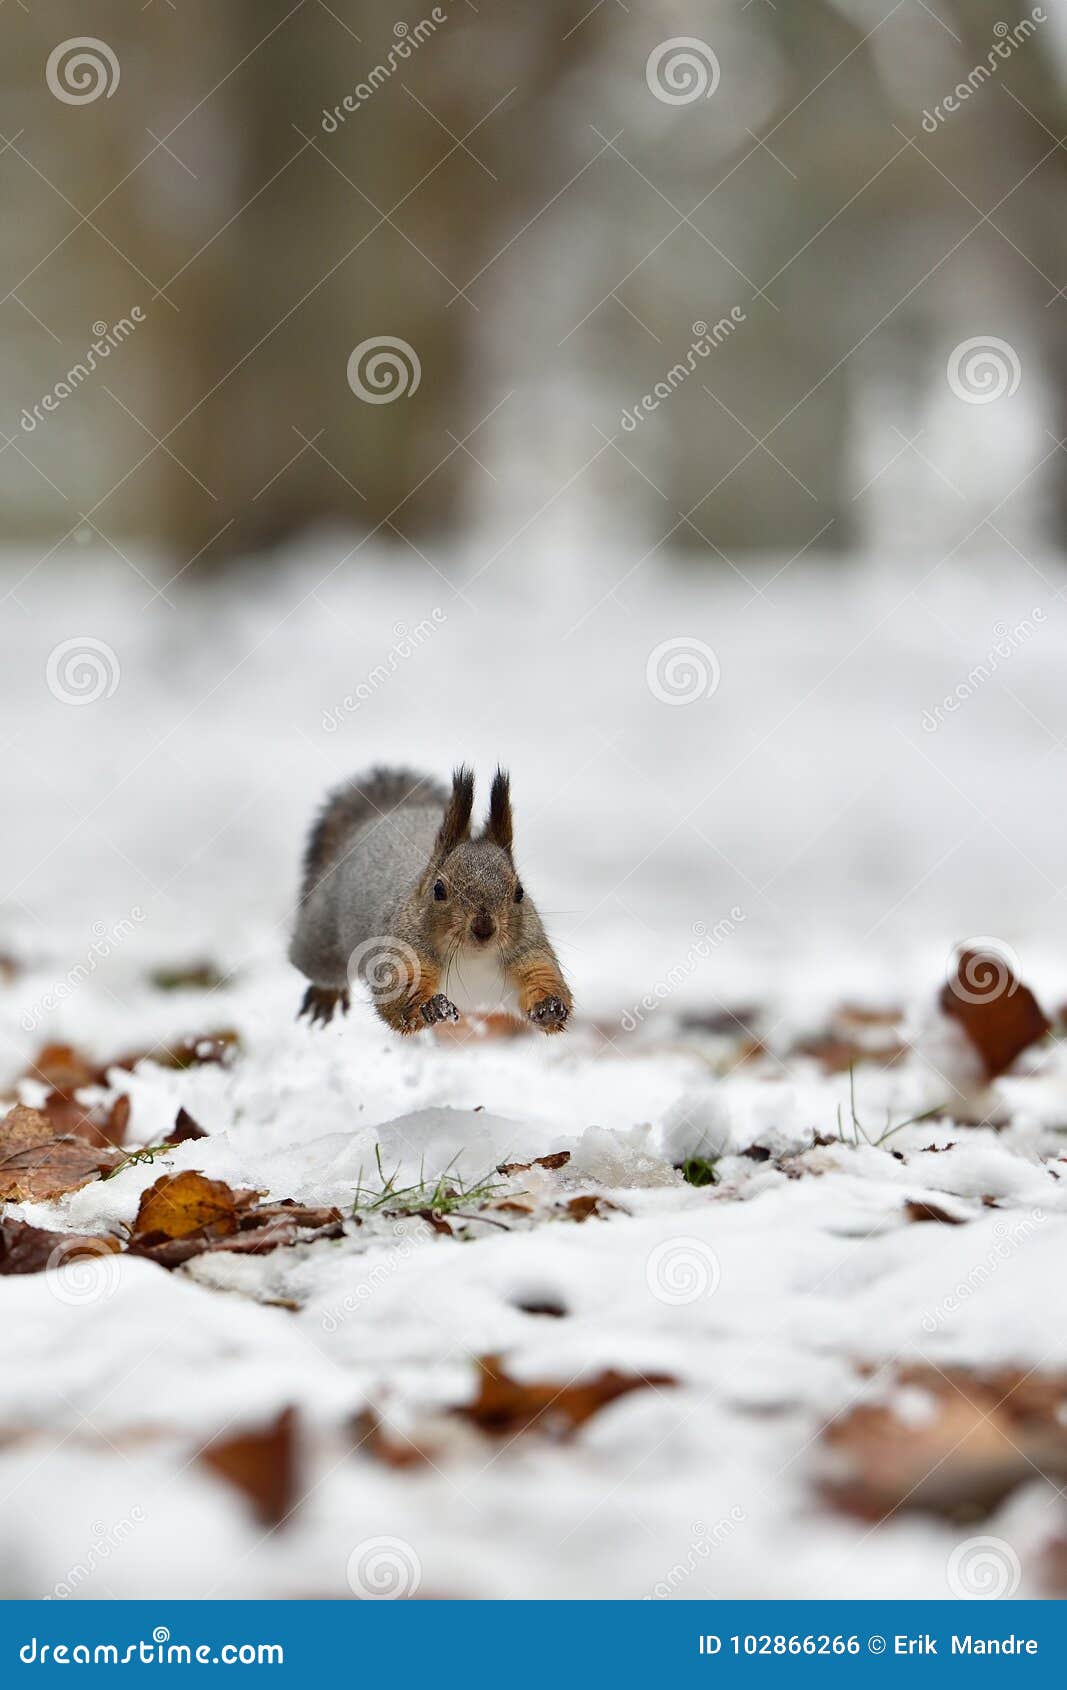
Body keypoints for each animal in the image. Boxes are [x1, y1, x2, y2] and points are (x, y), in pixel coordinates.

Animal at [289, 765, 572, 1036]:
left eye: (519, 892)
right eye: (439, 890)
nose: (484, 929)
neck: (472, 957)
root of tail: (382, 817)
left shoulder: (529, 951)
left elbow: (543, 978)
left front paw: (549, 1006)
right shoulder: (403, 950)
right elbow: (401, 996)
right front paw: (432, 1007)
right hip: (324, 932)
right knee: (319, 966)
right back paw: (325, 995)